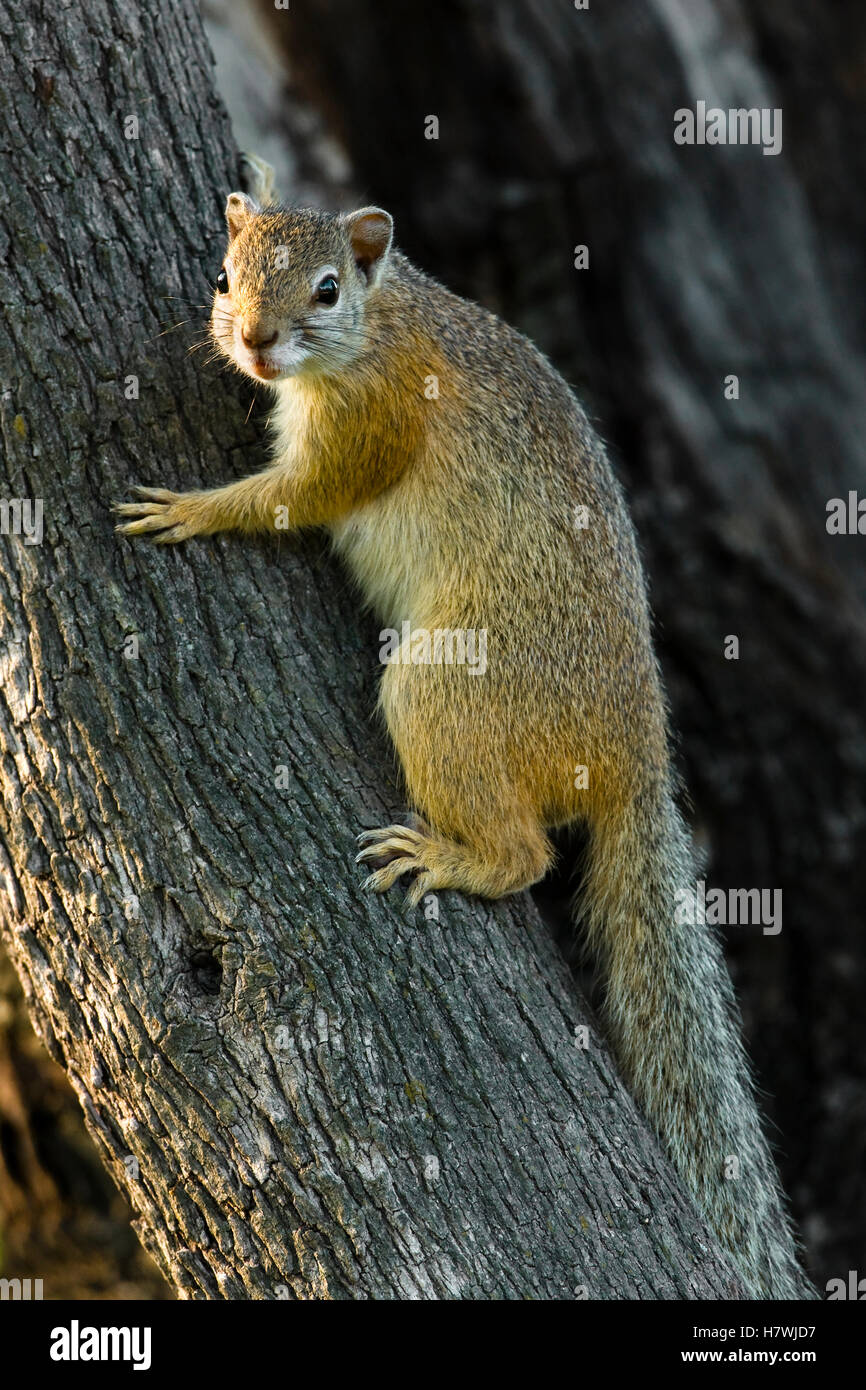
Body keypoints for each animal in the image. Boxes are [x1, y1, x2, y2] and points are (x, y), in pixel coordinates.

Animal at [116, 157, 809, 1299]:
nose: (253, 343)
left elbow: (297, 498)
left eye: (325, 290)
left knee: (527, 855)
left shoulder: (376, 422)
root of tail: (630, 757)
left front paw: (195, 509)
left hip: (447, 695)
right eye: (223, 275)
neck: (384, 323)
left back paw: (453, 860)